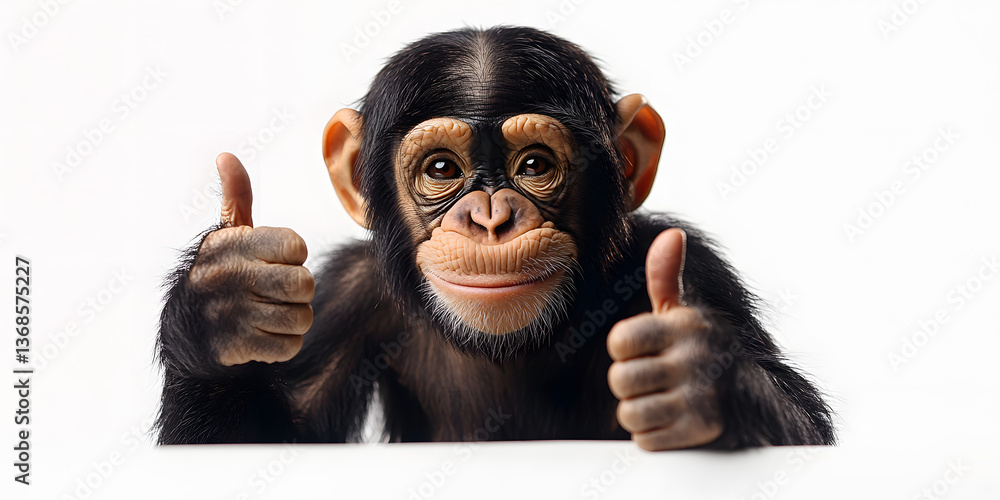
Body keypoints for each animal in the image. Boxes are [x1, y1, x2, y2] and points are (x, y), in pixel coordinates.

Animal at [156, 26, 835, 450]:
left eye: (534, 165)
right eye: (441, 170)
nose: (488, 218)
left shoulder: (691, 267)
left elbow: (803, 433)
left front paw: (693, 369)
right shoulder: (349, 293)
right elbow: (267, 433)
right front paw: (224, 302)